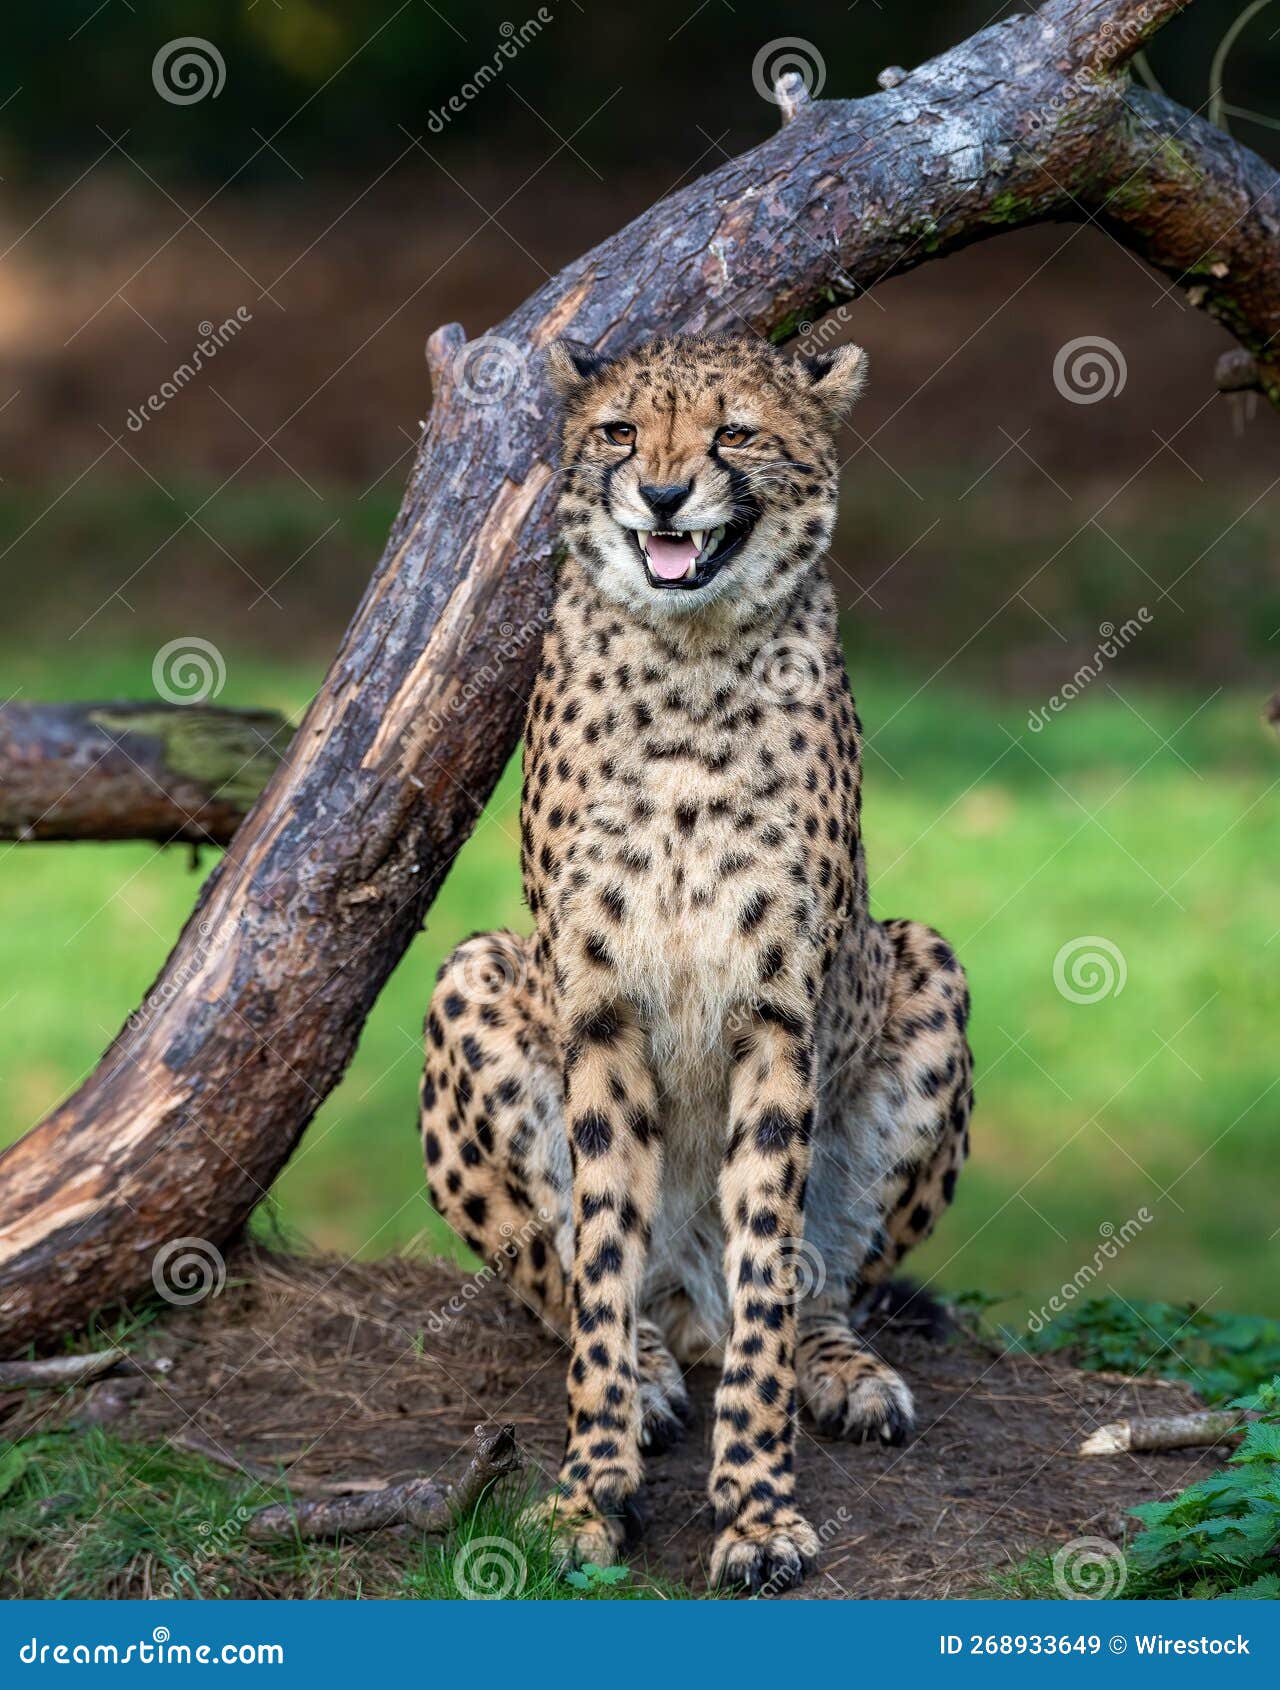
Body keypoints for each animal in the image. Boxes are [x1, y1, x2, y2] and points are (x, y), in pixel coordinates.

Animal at [419, 331, 973, 1594]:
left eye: (733, 433)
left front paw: (758, 1510)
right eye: (620, 430)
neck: (687, 660)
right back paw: (646, 1368)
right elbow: (599, 1248)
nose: (664, 493)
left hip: (924, 966)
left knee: (817, 1283)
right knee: (573, 1284)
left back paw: (841, 1370)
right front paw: (589, 1493)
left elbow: (772, 1261)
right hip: (471, 973)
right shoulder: (598, 1007)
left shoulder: (778, 1014)